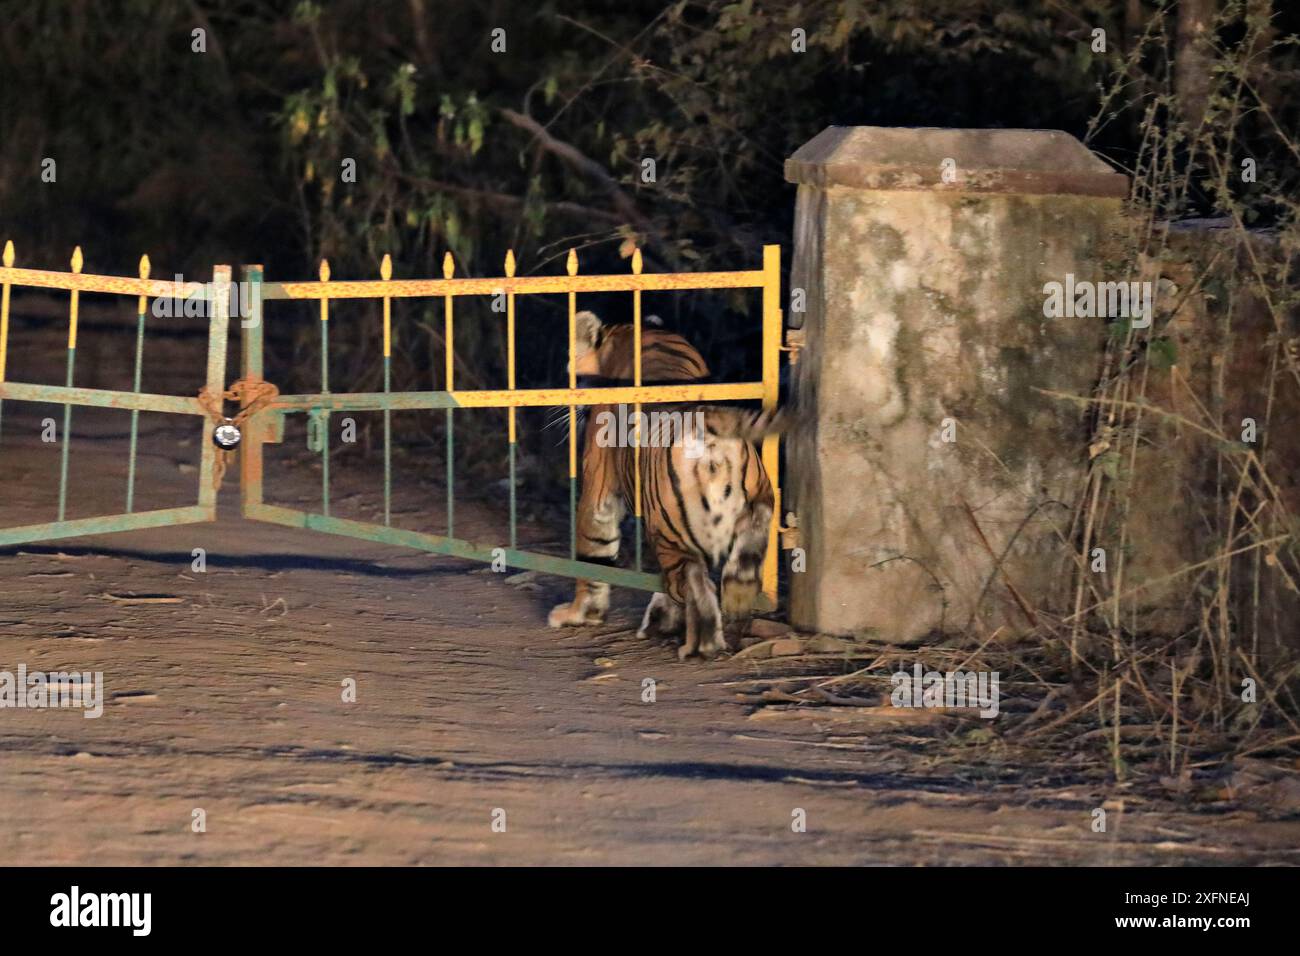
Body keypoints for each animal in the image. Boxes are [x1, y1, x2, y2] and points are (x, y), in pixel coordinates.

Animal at [547, 310, 782, 660]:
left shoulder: (599, 485)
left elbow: (593, 554)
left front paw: (578, 614)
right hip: (757, 492)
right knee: (749, 538)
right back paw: (737, 595)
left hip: (668, 533)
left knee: (695, 585)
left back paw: (702, 643)